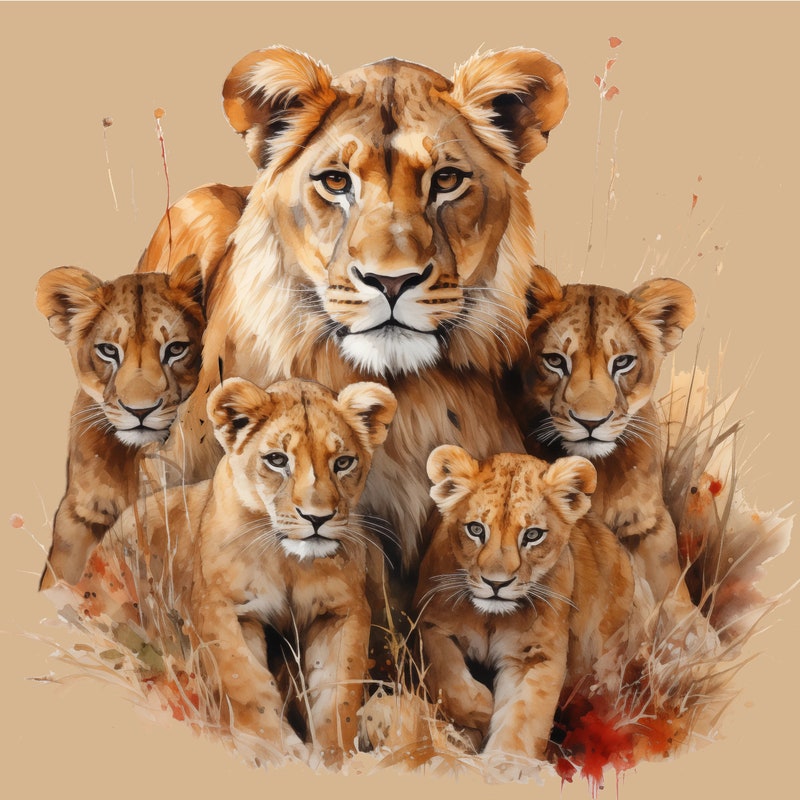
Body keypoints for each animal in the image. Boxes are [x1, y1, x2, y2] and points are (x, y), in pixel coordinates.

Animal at [114, 377, 397, 765]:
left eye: (343, 462)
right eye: (277, 460)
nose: (318, 518)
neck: (288, 561)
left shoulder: (342, 610)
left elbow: (338, 692)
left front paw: (334, 758)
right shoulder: (223, 608)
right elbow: (245, 682)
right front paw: (275, 753)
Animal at [415, 447, 635, 763]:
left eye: (532, 535)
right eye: (476, 529)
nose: (496, 584)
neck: (491, 618)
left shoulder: (536, 654)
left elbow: (524, 715)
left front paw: (508, 762)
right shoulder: (429, 623)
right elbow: (448, 675)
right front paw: (484, 711)